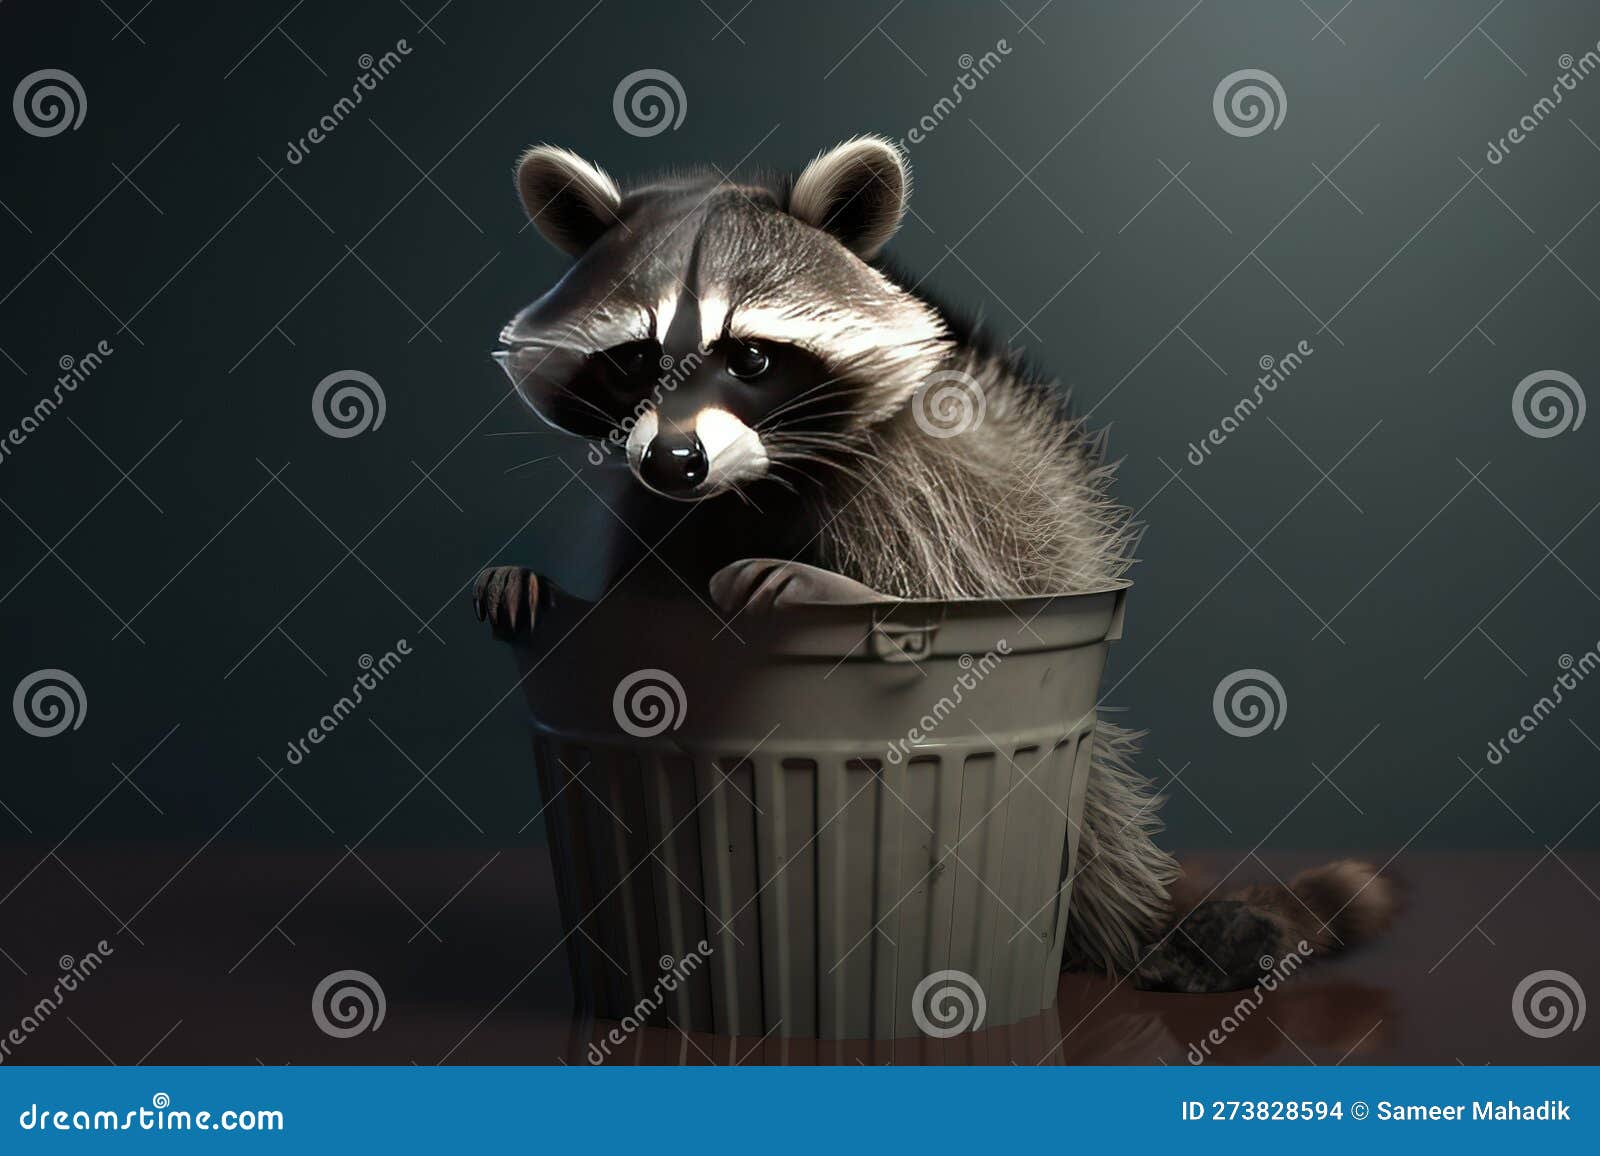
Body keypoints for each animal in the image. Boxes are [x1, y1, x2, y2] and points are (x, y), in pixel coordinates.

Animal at [476, 137, 1396, 992]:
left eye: (752, 358)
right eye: (634, 358)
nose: (674, 459)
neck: (755, 481)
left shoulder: (945, 465)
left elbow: (958, 571)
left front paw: (831, 584)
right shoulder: (654, 502)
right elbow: (642, 579)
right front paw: (538, 580)